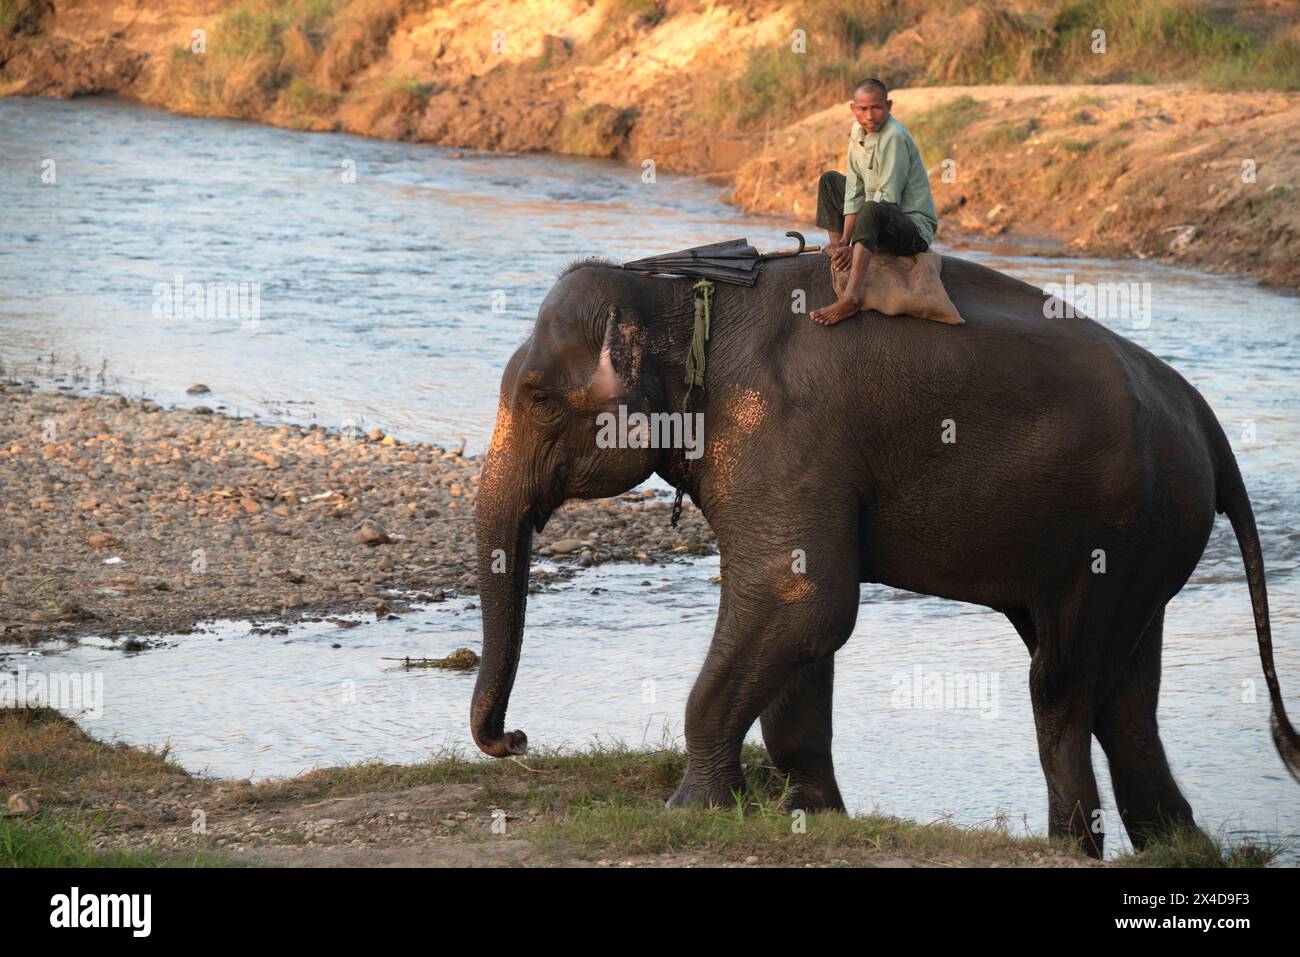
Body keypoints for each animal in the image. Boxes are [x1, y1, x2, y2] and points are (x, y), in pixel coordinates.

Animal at [470, 251, 1300, 857]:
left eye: (538, 397)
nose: (514, 739)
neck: (677, 290)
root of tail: (1206, 418)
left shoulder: (783, 435)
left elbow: (799, 597)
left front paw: (686, 813)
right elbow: (802, 621)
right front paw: (812, 816)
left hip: (1116, 529)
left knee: (1061, 686)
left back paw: (1069, 849)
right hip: (1148, 537)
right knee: (1126, 698)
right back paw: (1178, 850)